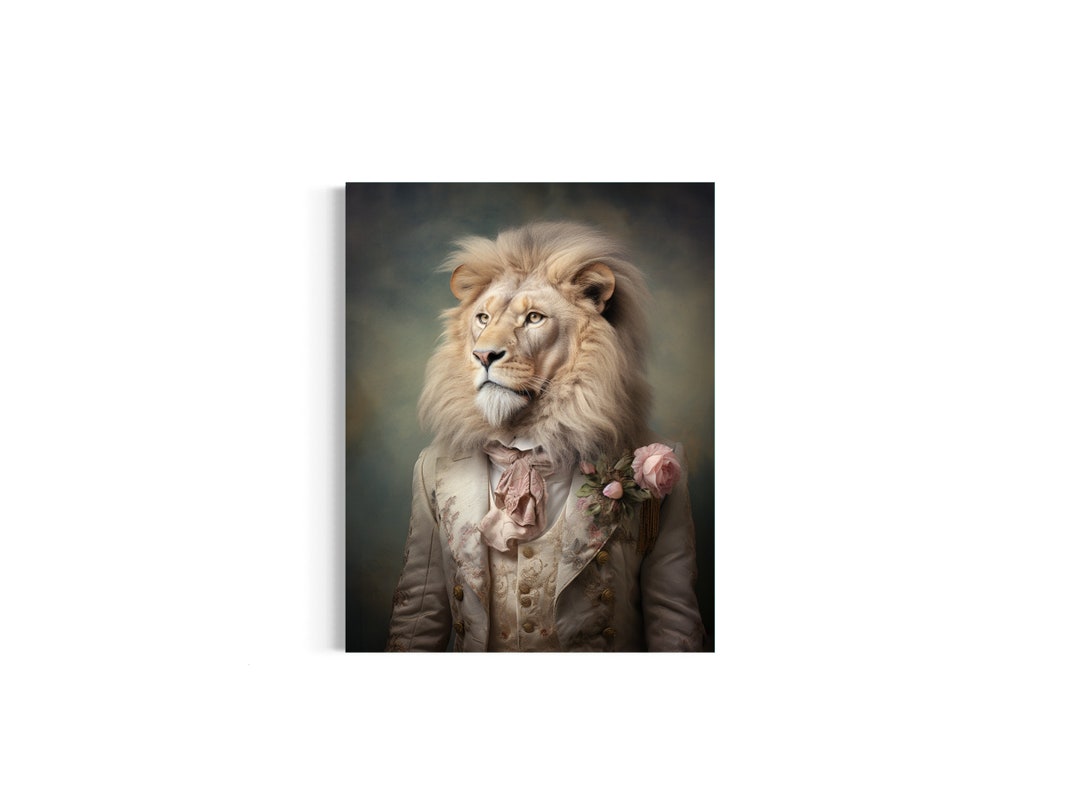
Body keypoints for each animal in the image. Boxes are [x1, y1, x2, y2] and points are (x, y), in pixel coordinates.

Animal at [388, 221, 704, 652]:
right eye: (482, 318)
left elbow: (671, 612)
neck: (522, 439)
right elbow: (417, 615)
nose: (483, 355)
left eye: (534, 318)